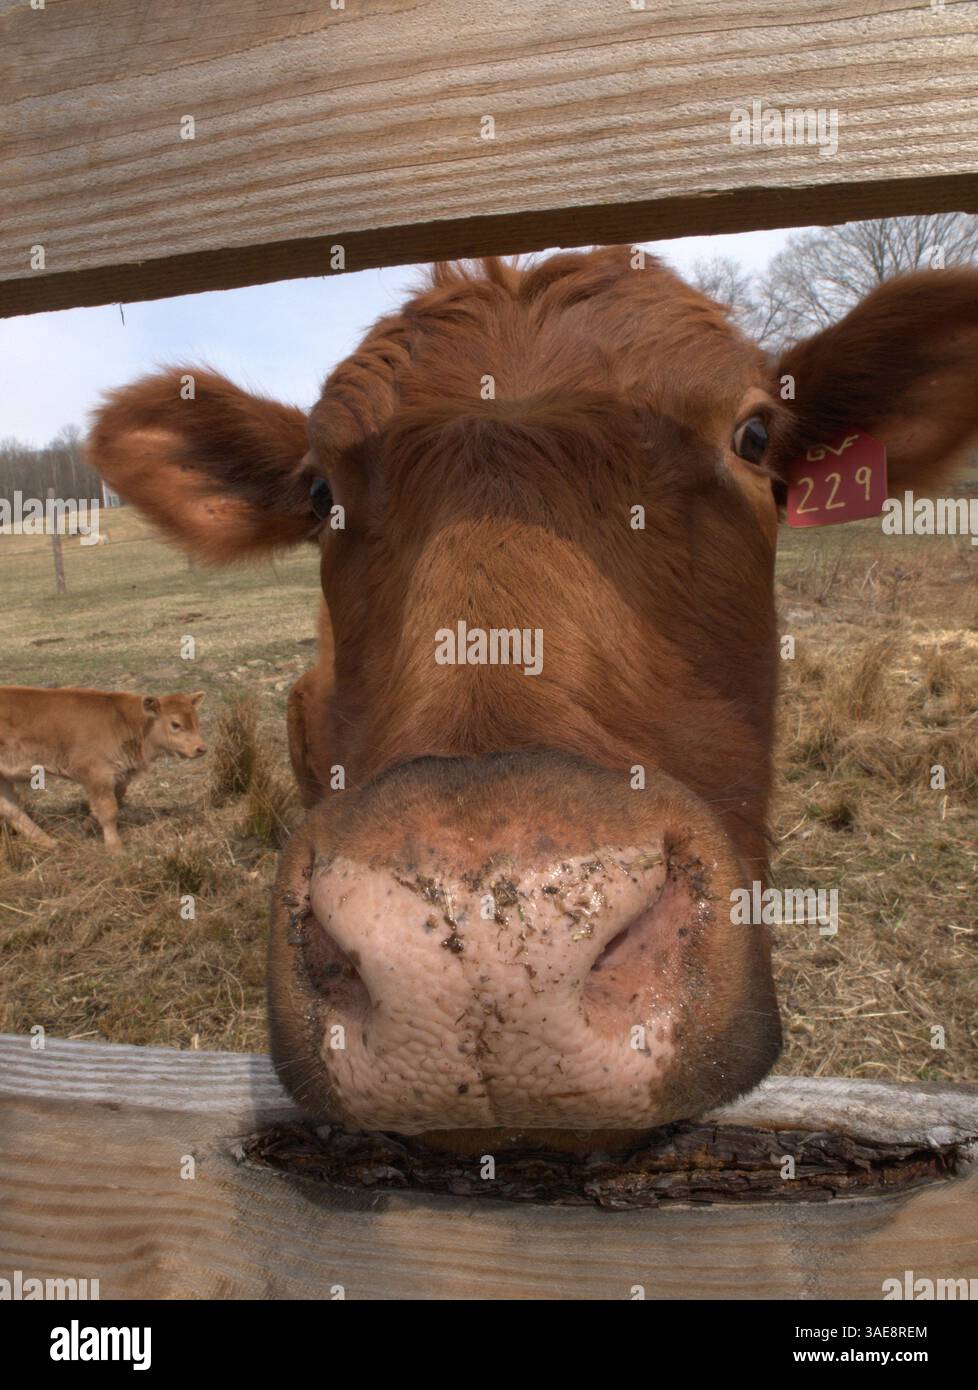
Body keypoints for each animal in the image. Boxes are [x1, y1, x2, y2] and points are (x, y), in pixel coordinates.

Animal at [0, 687, 206, 852]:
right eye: (175, 724)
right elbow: (109, 810)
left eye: (197, 721)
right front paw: (115, 847)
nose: (201, 748)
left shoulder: (118, 777)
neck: (122, 720)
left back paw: (51, 843)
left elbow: (109, 803)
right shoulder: (97, 774)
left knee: (11, 809)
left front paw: (85, 828)